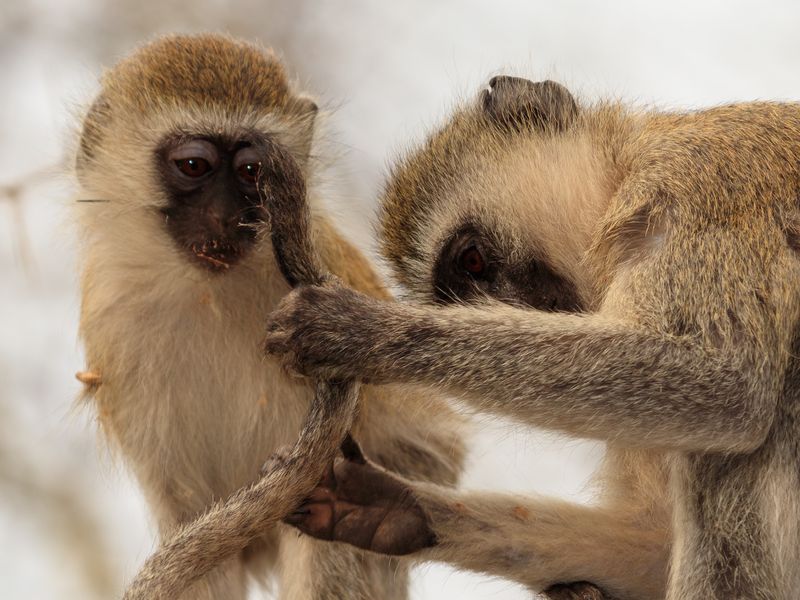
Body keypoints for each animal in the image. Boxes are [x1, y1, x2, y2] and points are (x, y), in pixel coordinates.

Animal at [73, 33, 465, 600]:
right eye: (194, 166)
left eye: (251, 171)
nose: (225, 216)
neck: (207, 292)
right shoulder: (112, 322)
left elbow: (429, 449)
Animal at [264, 74, 800, 600]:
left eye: (472, 261)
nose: (502, 312)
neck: (624, 172)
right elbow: (652, 547)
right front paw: (390, 507)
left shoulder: (706, 181)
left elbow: (726, 381)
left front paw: (358, 330)